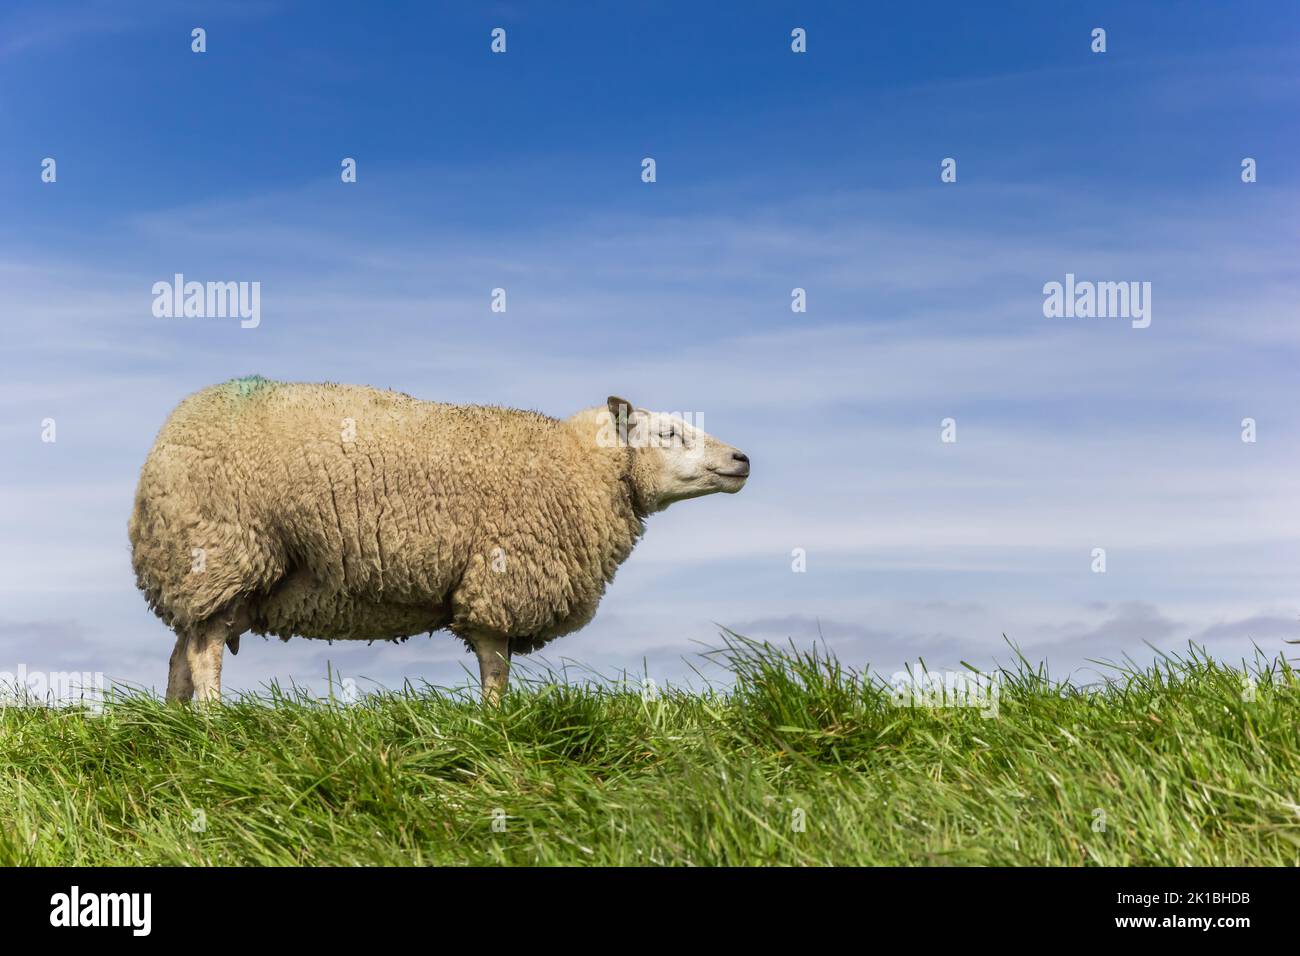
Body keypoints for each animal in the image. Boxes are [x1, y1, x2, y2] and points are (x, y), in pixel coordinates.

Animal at [128, 377, 750, 704]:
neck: (579, 466)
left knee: (182, 652)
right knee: (204, 651)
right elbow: (496, 666)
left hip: (207, 573)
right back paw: (213, 723)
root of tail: (164, 441)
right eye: (668, 433)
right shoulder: (499, 578)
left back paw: (175, 724)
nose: (742, 460)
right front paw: (496, 725)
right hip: (221, 553)